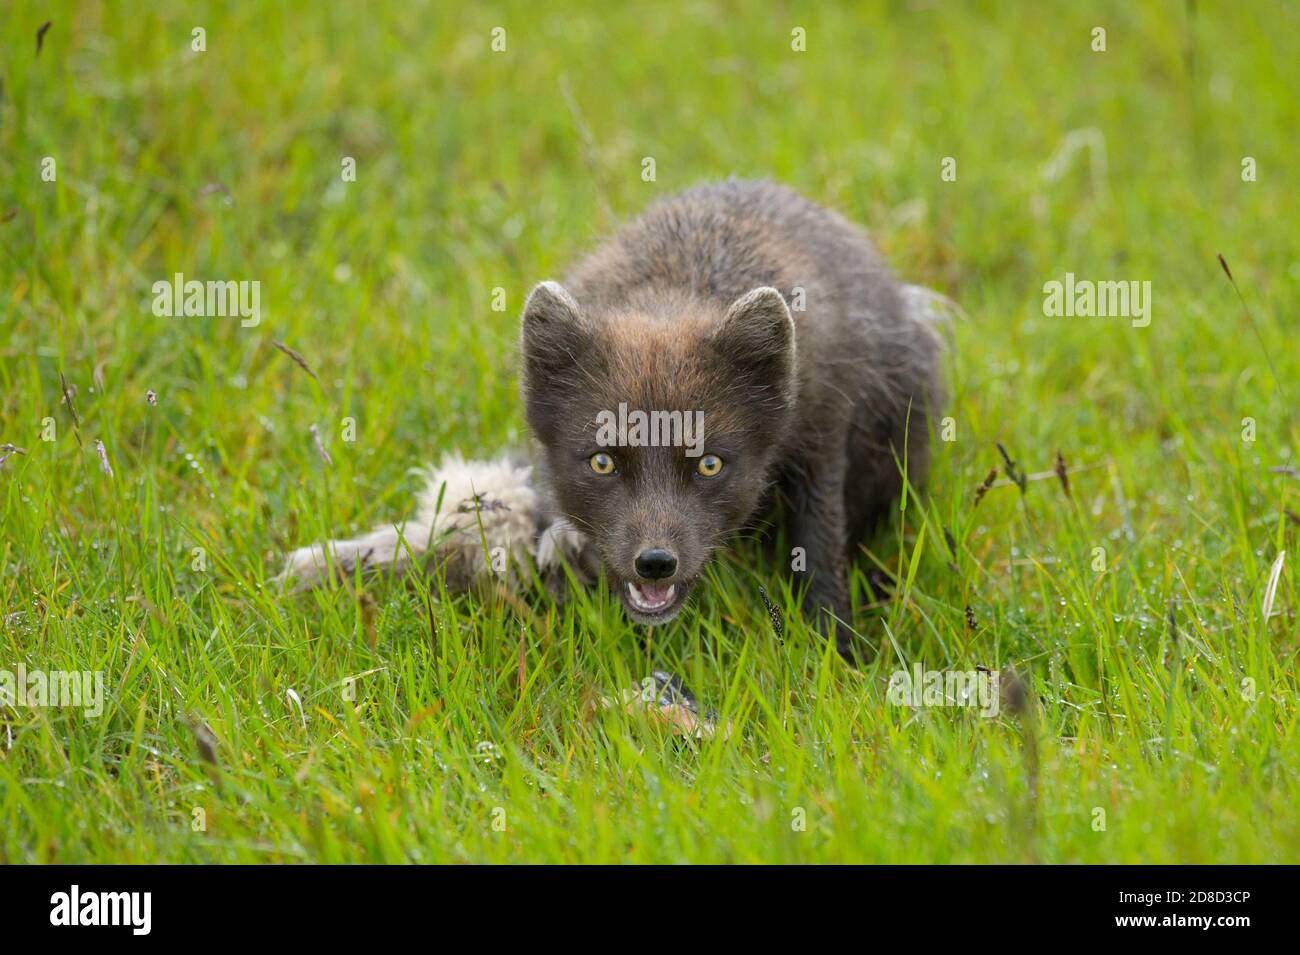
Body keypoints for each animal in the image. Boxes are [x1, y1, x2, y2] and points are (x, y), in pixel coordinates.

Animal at [281, 180, 945, 659]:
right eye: (602, 461)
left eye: (709, 464)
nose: (655, 563)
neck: (678, 289)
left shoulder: (820, 435)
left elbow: (820, 545)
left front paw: (833, 654)